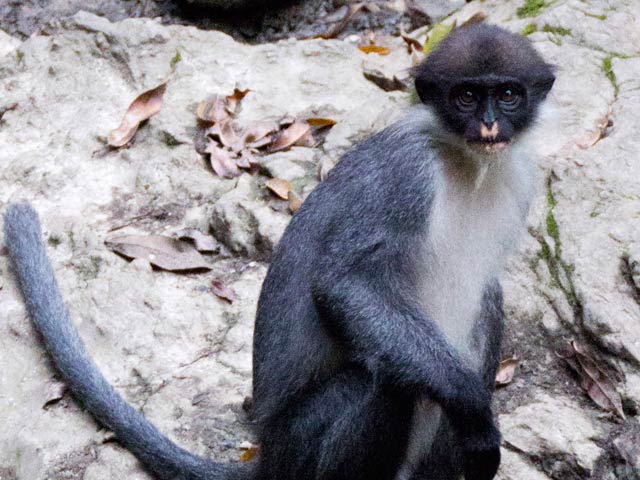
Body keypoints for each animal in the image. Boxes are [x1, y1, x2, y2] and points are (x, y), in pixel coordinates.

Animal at [3, 23, 554, 480]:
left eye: (507, 94)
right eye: (466, 97)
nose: (489, 126)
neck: (465, 162)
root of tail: (267, 457)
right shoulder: (405, 175)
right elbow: (347, 286)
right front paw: (474, 409)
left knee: (486, 305)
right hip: (302, 450)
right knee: (384, 378)